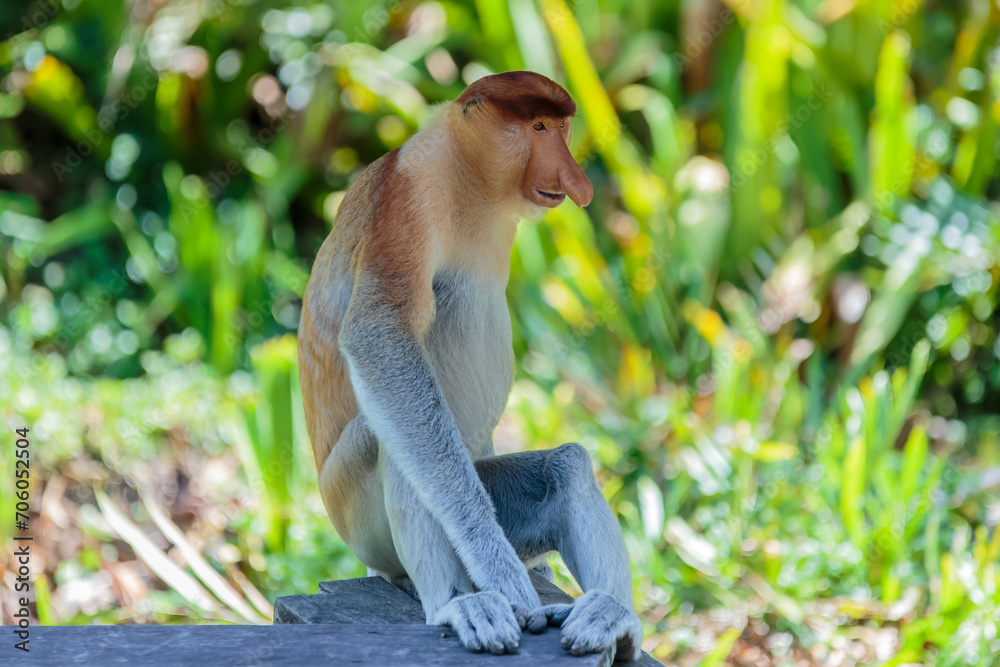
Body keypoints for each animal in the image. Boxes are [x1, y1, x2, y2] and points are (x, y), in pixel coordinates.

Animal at [298, 71, 642, 661]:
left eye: (561, 128)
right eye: (538, 127)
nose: (576, 182)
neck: (473, 181)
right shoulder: (407, 193)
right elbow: (381, 337)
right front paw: (502, 580)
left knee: (566, 468)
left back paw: (607, 616)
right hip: (358, 519)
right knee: (390, 438)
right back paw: (462, 603)